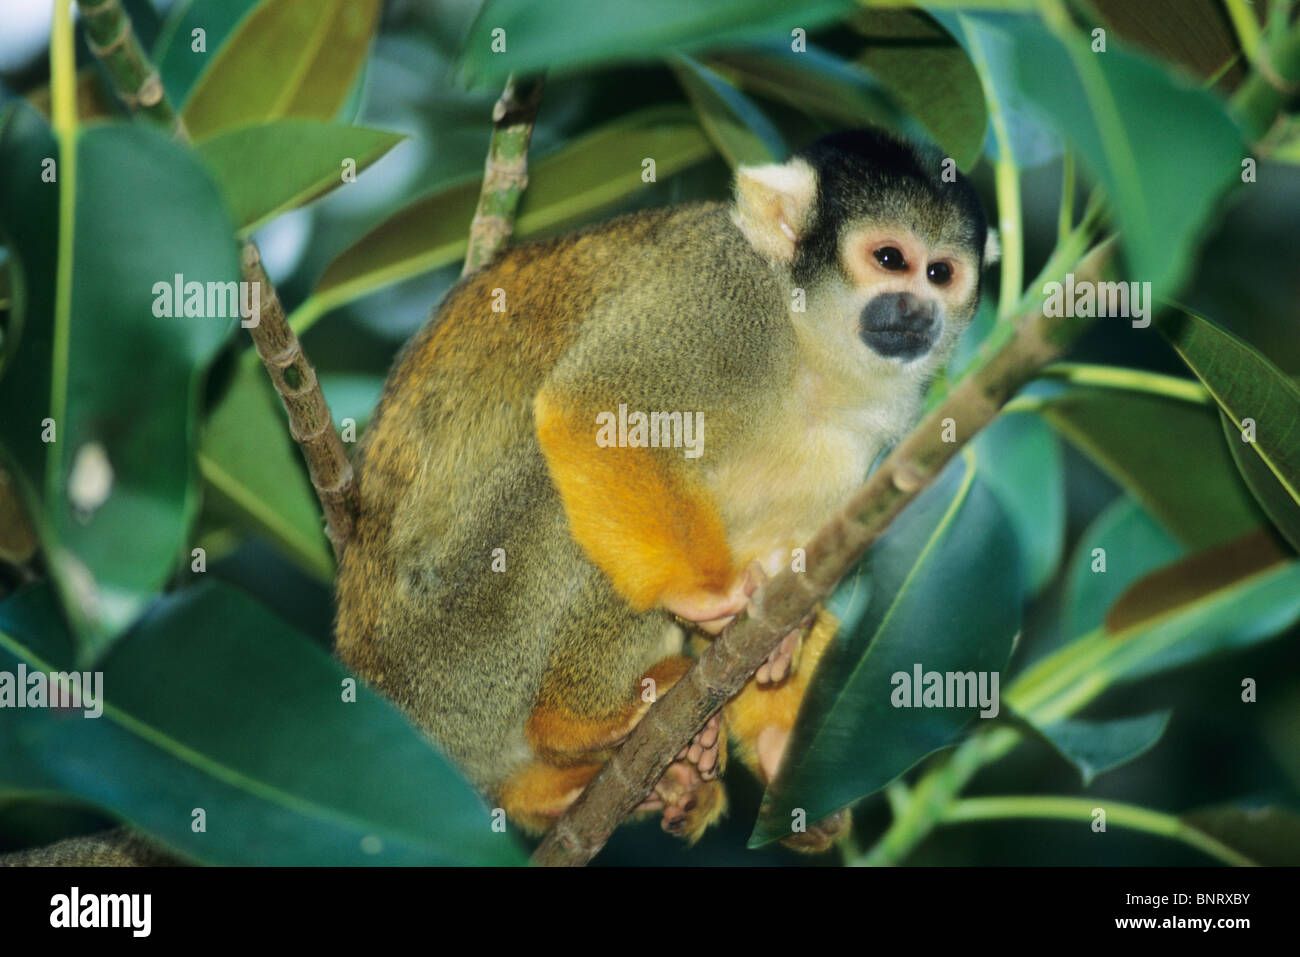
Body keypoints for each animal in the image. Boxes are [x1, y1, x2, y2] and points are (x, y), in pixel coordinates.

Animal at [334, 127, 995, 853]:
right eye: (890, 259)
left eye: (941, 273)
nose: (918, 311)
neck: (807, 345)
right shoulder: (719, 295)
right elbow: (598, 410)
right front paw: (706, 594)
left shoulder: (865, 435)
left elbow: (784, 572)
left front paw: (780, 720)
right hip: (450, 656)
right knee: (552, 490)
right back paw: (578, 720)